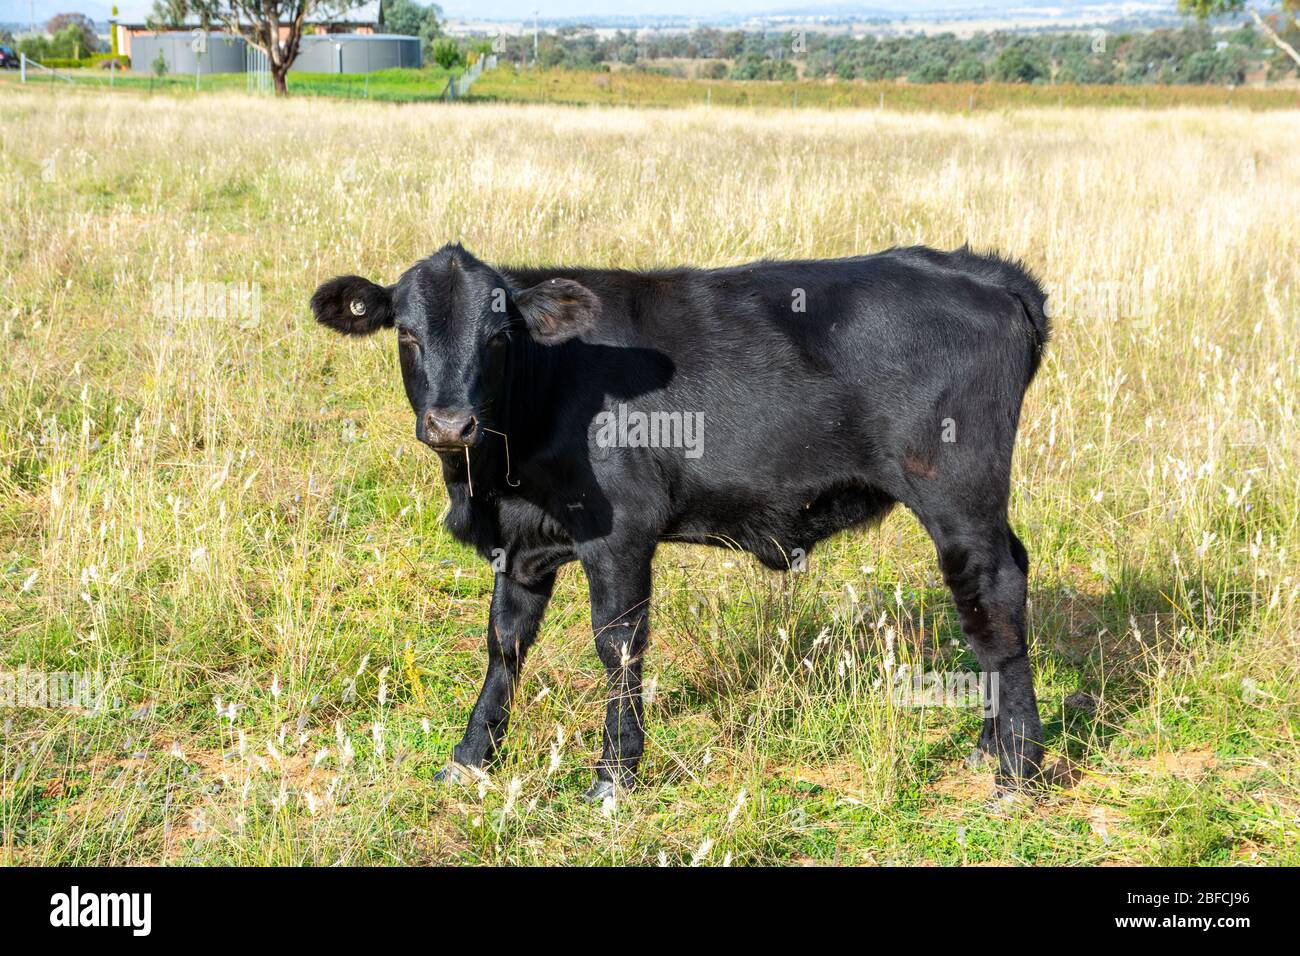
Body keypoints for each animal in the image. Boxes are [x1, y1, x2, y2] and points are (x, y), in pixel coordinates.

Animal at [311, 243, 1050, 802]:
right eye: (407, 332)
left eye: (497, 338)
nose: (449, 424)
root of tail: (979, 271)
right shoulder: (520, 544)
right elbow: (504, 645)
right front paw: (469, 758)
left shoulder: (619, 534)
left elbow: (618, 647)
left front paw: (614, 775)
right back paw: (989, 746)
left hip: (958, 496)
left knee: (994, 599)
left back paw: (1016, 768)